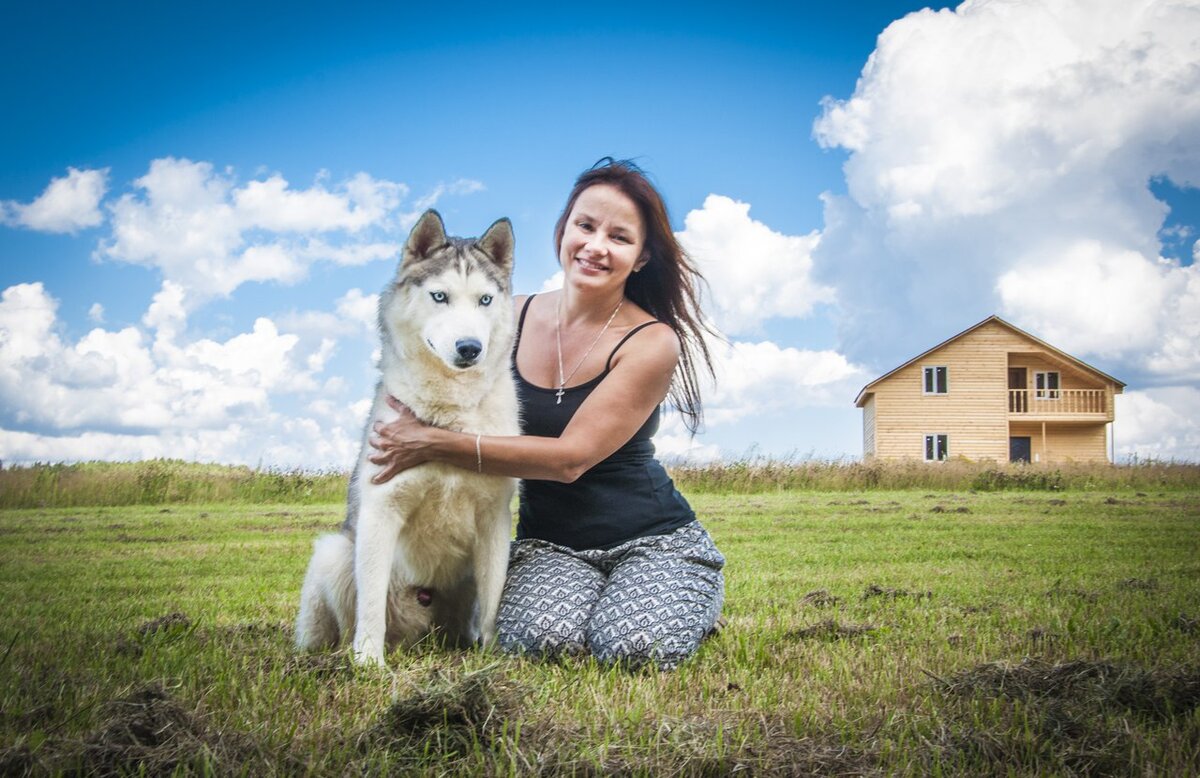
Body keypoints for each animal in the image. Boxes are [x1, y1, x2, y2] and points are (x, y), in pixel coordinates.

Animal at [295, 210, 520, 667]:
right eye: (440, 297)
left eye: (485, 300)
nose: (469, 347)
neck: (448, 417)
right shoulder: (382, 510)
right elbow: (370, 604)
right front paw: (368, 662)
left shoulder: (495, 519)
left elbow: (493, 598)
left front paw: (492, 656)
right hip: (334, 552)